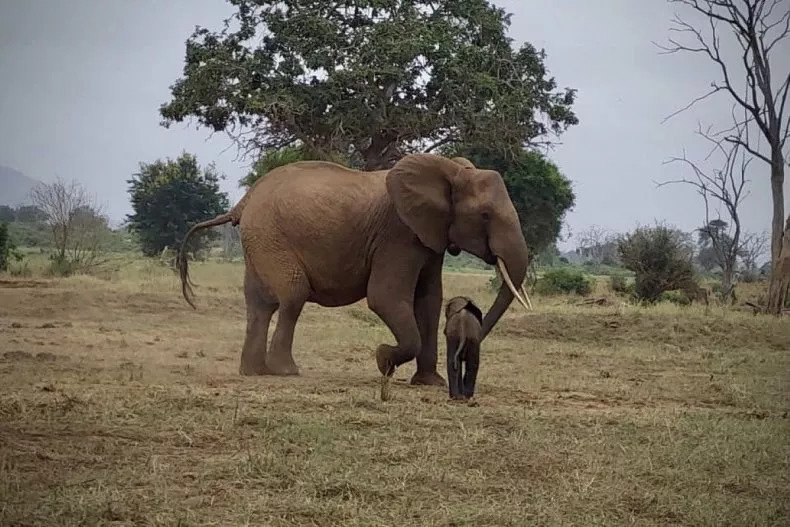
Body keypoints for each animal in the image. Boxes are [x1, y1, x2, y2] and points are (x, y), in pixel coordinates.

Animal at [177, 153, 531, 387]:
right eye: (485, 215)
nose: (464, 353)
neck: (450, 169)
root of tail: (243, 202)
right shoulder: (398, 234)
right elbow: (385, 298)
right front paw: (383, 360)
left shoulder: (430, 237)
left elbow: (429, 301)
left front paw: (431, 383)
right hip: (270, 237)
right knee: (292, 295)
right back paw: (285, 371)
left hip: (258, 241)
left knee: (260, 304)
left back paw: (253, 372)